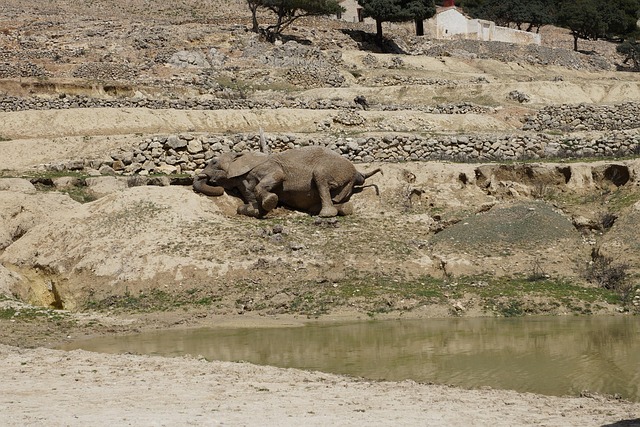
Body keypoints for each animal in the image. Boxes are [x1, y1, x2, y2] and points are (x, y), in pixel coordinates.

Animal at [193, 146, 381, 217]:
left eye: (213, 162)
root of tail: (358, 173)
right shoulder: (242, 182)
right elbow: (249, 201)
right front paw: (258, 210)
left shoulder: (268, 166)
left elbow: (278, 176)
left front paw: (271, 202)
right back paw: (342, 209)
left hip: (334, 168)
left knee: (320, 177)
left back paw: (325, 215)